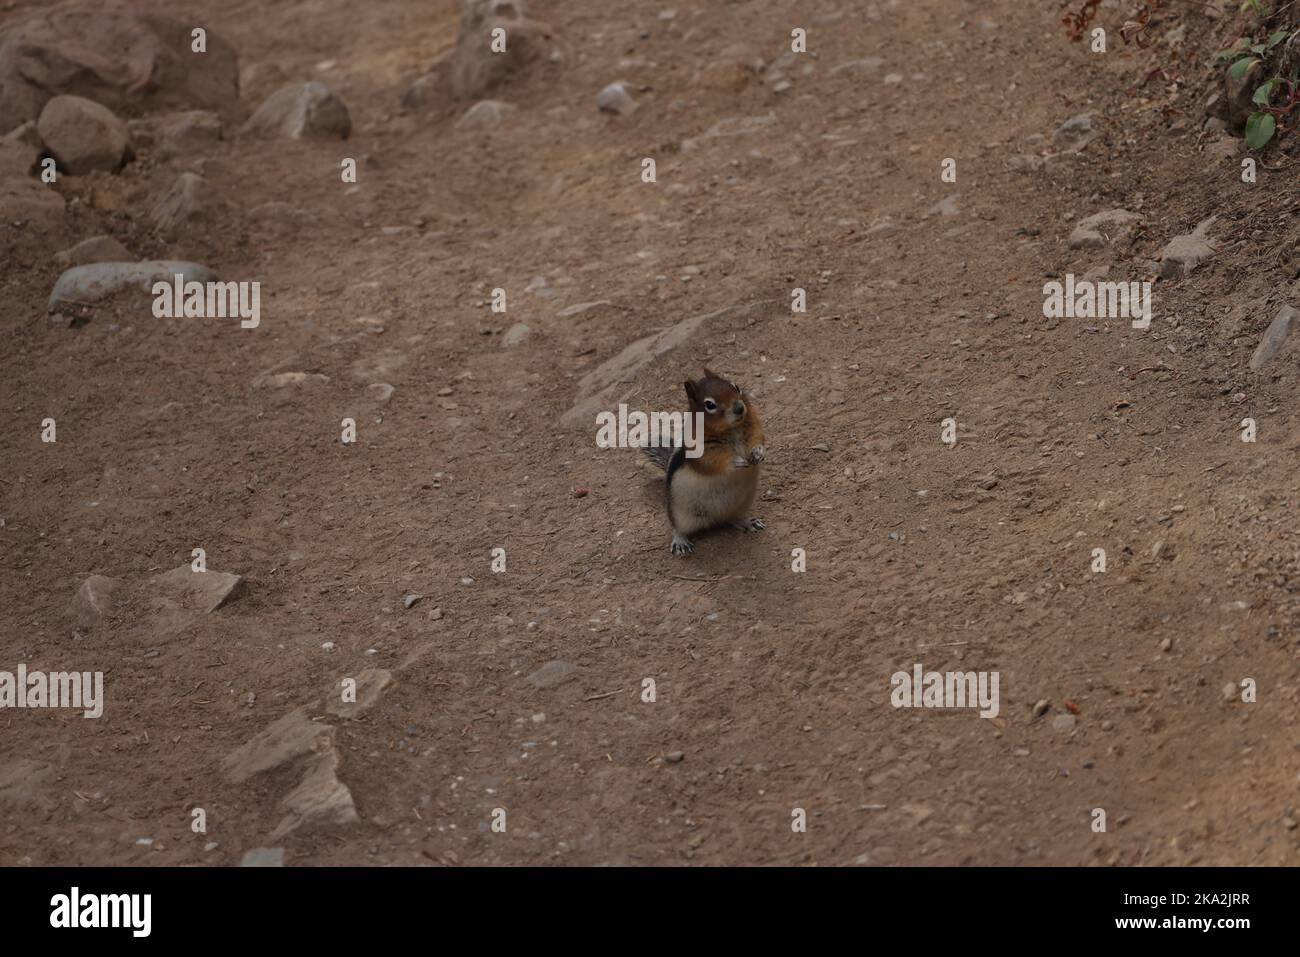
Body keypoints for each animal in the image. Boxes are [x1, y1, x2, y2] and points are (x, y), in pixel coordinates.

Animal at [642, 368, 766, 555]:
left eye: (735, 386)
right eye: (710, 404)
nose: (739, 408)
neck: (731, 429)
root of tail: (716, 519)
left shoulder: (753, 425)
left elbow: (758, 437)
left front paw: (759, 452)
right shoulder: (701, 449)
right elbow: (712, 461)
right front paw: (736, 461)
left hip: (742, 504)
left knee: (732, 519)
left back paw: (747, 522)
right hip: (681, 513)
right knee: (677, 527)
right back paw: (680, 541)